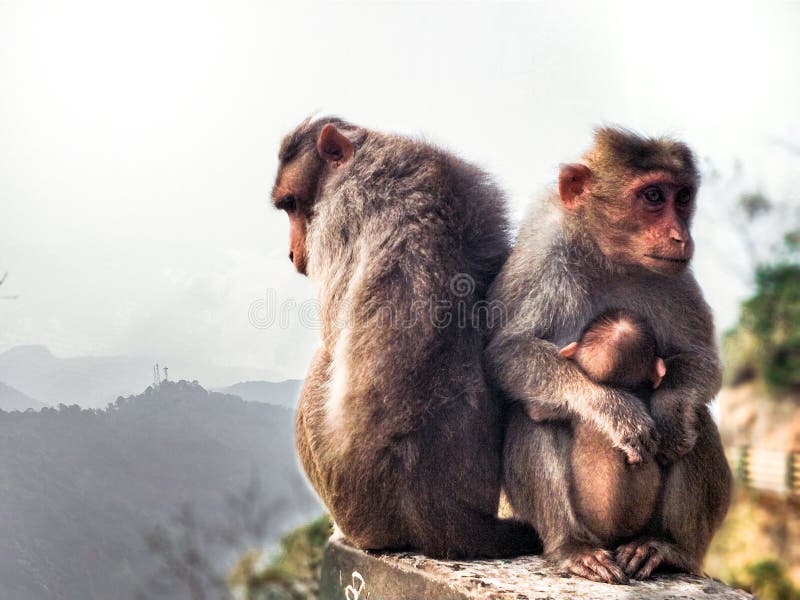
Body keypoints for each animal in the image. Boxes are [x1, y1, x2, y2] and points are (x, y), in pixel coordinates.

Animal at [271, 116, 541, 559]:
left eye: (292, 205)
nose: (292, 254)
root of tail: (443, 522)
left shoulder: (338, 217)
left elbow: (333, 335)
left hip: (360, 507)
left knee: (320, 370)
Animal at [487, 127, 731, 583]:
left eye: (682, 197)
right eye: (652, 196)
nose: (680, 236)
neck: (610, 258)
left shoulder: (676, 276)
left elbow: (701, 363)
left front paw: (670, 408)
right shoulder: (542, 252)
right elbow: (508, 352)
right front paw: (613, 408)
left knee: (698, 422)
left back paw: (668, 547)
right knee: (535, 412)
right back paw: (572, 546)